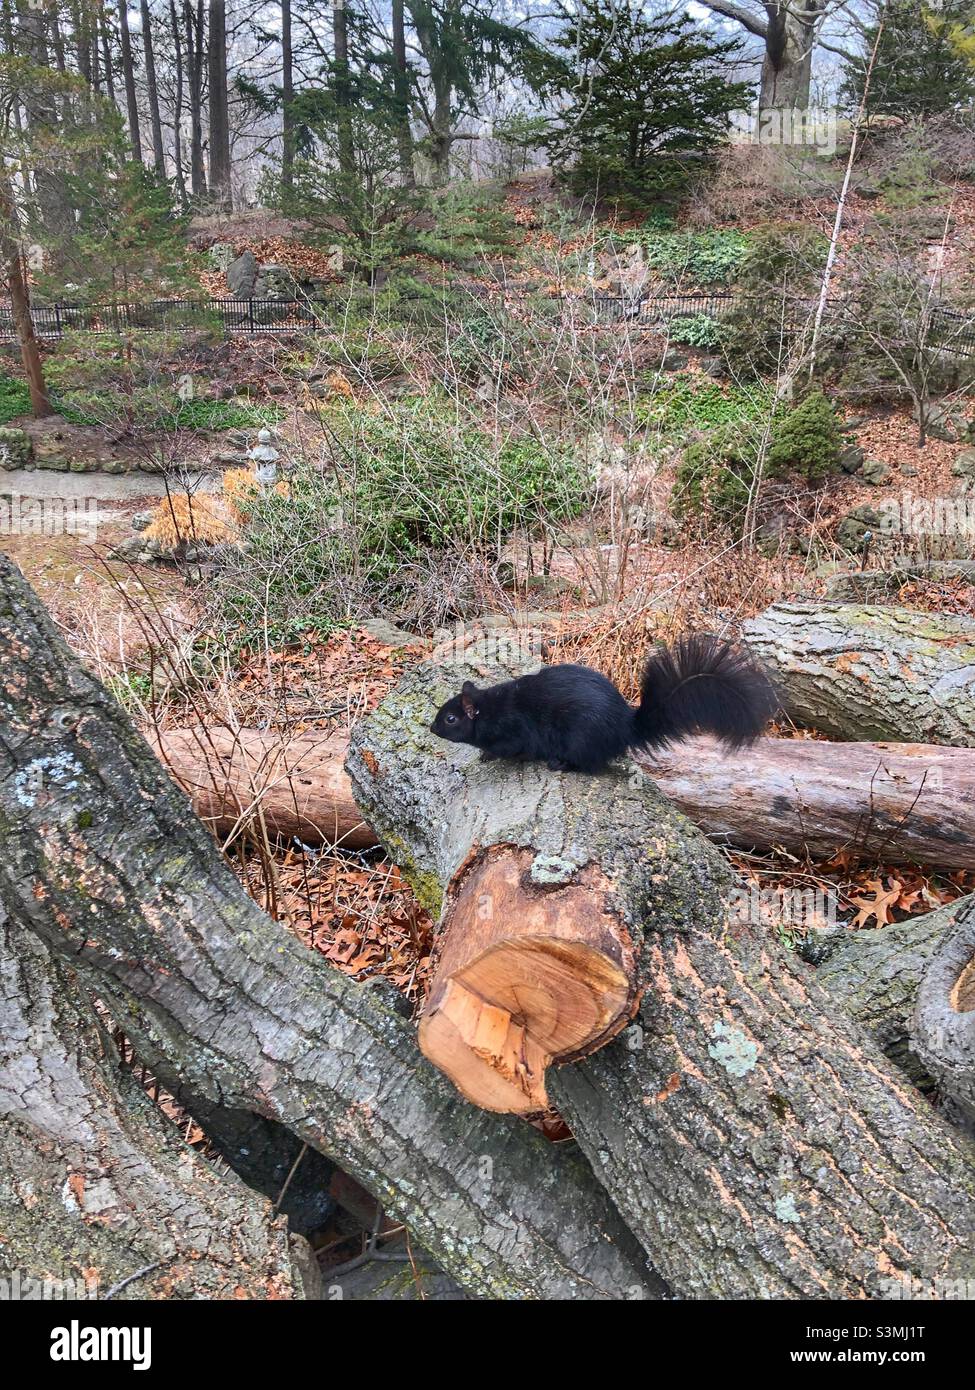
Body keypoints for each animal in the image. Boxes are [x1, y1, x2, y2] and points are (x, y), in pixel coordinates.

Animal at [430, 633, 778, 774]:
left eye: (450, 719)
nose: (431, 728)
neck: (489, 711)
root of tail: (624, 728)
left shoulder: (513, 729)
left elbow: (515, 748)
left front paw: (490, 755)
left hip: (581, 738)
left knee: (588, 762)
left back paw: (560, 764)